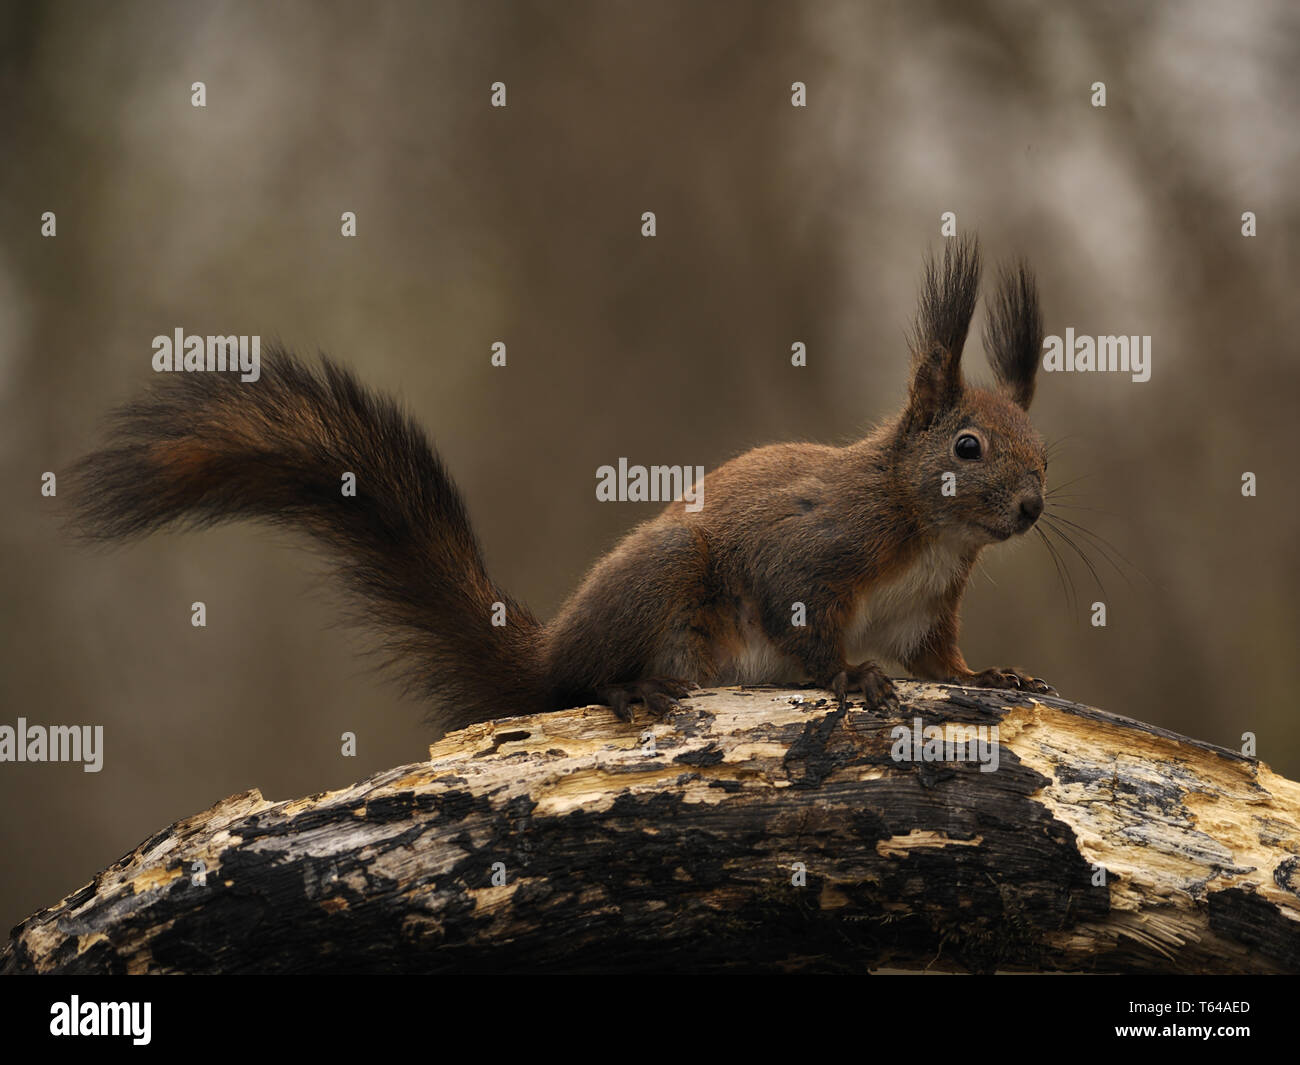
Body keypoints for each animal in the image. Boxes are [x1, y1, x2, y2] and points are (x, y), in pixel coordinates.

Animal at [69, 235, 1055, 736]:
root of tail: (546, 652)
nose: (1033, 507)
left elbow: (939, 660)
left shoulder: (926, 610)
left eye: (1045, 450)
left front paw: (995, 673)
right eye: (968, 446)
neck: (929, 531)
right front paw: (850, 675)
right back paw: (625, 690)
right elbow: (801, 616)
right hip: (663, 575)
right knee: (583, 683)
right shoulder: (821, 547)